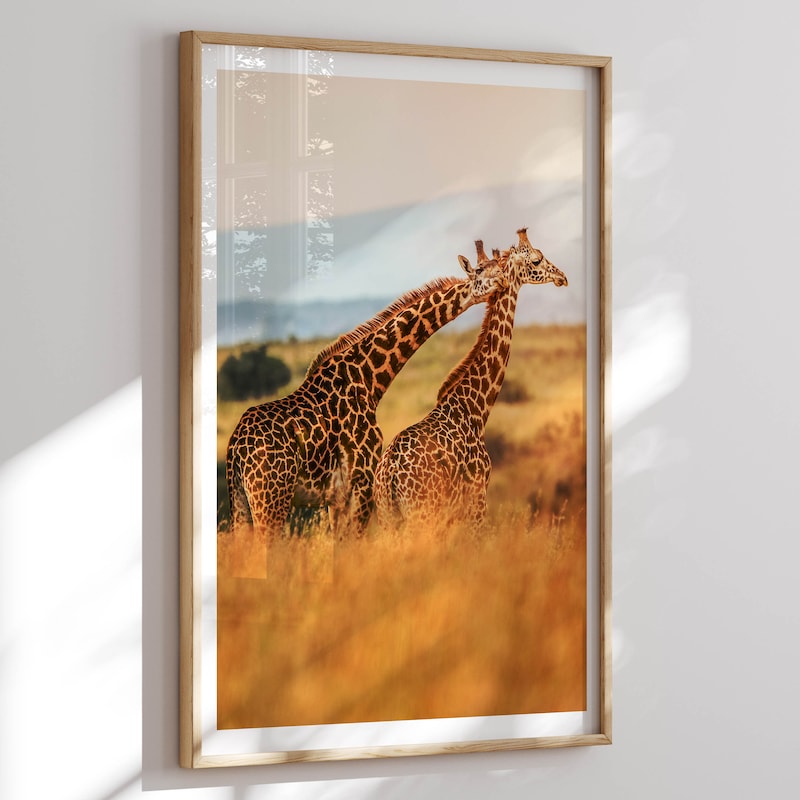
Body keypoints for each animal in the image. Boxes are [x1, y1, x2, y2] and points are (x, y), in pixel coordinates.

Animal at [225, 255, 508, 539]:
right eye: (480, 272)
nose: (503, 281)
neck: (368, 378)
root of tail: (236, 447)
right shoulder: (362, 479)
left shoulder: (337, 496)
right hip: (271, 499)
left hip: (240, 500)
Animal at [374, 228, 568, 531]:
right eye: (537, 259)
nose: (562, 277)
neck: (476, 408)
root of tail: (389, 474)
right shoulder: (477, 501)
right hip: (421, 516)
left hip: (387, 519)